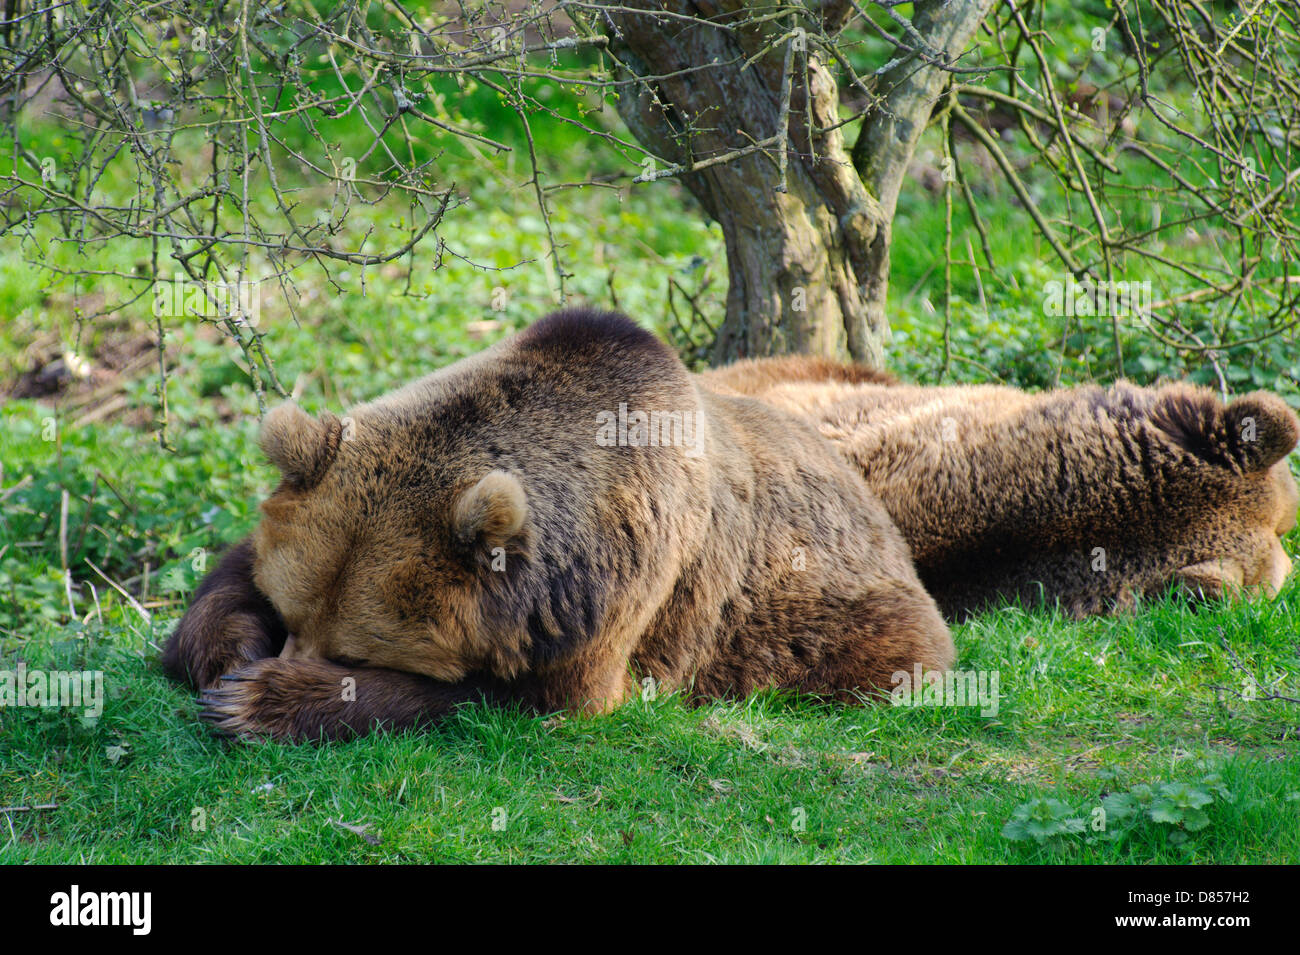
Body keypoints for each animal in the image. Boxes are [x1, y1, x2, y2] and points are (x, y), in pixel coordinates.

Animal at [162, 310, 954, 741]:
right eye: (290, 610)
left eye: (357, 652)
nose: (289, 657)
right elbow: (224, 581)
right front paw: (230, 659)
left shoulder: (613, 589)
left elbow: (522, 699)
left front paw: (260, 702)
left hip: (837, 618)